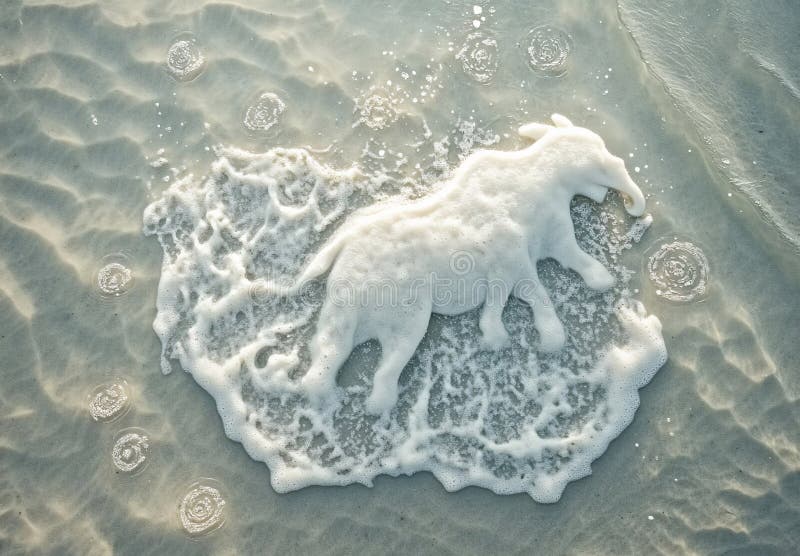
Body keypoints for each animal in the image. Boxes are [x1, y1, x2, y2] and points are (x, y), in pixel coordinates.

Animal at [257, 114, 647, 414]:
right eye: (598, 157)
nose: (632, 206)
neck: (541, 168)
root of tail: (340, 246)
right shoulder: (513, 249)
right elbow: (533, 289)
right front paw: (548, 339)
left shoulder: (541, 237)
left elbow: (559, 264)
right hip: (405, 311)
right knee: (388, 356)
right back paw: (377, 406)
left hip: (344, 303)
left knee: (330, 347)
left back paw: (323, 396)